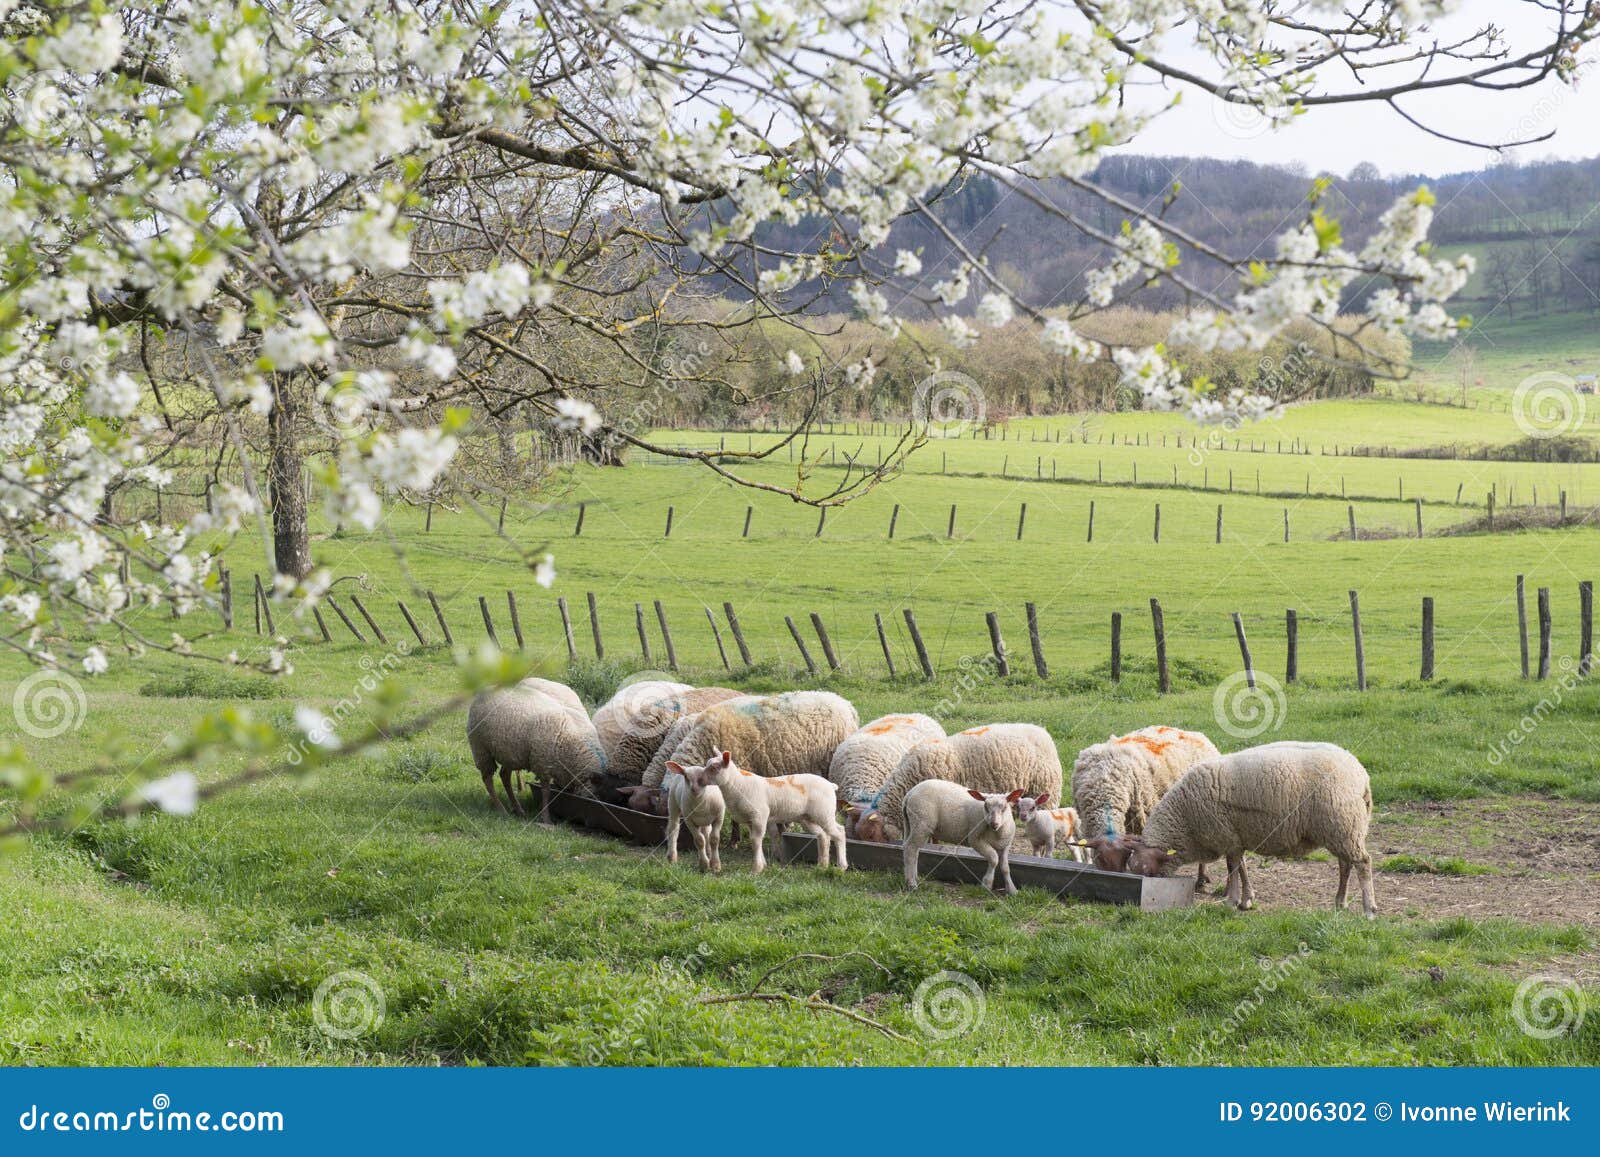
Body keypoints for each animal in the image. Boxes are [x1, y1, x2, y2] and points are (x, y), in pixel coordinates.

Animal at [466, 677, 603, 815]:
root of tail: (488, 688)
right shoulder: (542, 764)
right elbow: (546, 792)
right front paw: (545, 816)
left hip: (509, 751)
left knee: (504, 775)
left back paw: (517, 808)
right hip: (481, 748)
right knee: (488, 778)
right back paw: (501, 808)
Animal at [674, 750, 847, 873]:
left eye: (715, 767)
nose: (699, 781)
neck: (738, 785)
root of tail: (830, 785)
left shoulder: (759, 816)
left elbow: (755, 841)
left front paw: (756, 869)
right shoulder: (751, 820)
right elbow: (756, 841)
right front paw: (762, 863)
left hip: (824, 813)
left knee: (839, 833)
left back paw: (842, 866)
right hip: (808, 818)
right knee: (823, 836)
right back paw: (822, 865)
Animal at [1102, 741, 1377, 918]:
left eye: (1144, 869)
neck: (1184, 820)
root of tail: (1361, 775)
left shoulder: (1225, 835)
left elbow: (1232, 867)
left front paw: (1232, 900)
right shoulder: (1236, 837)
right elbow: (1242, 866)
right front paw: (1246, 900)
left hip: (1342, 824)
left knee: (1362, 863)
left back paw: (1369, 909)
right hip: (1344, 829)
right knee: (1346, 864)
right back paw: (1340, 902)